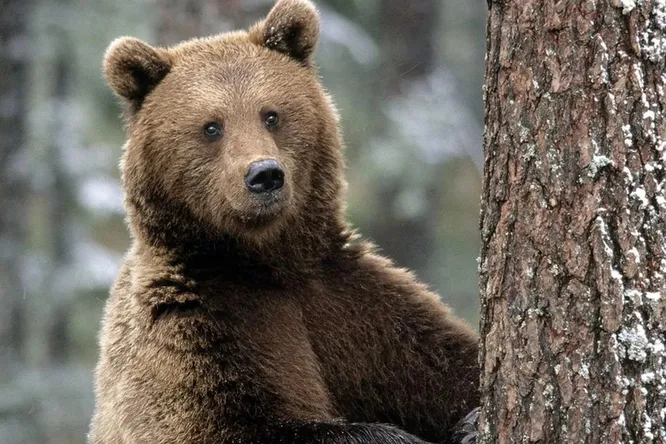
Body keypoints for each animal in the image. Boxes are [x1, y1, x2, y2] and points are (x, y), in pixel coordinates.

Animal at [88, 0, 478, 444]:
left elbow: (444, 365)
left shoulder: (356, 308)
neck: (266, 260)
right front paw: (400, 435)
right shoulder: (195, 326)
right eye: (211, 126)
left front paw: (471, 419)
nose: (265, 175)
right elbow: (229, 422)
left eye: (271, 115)